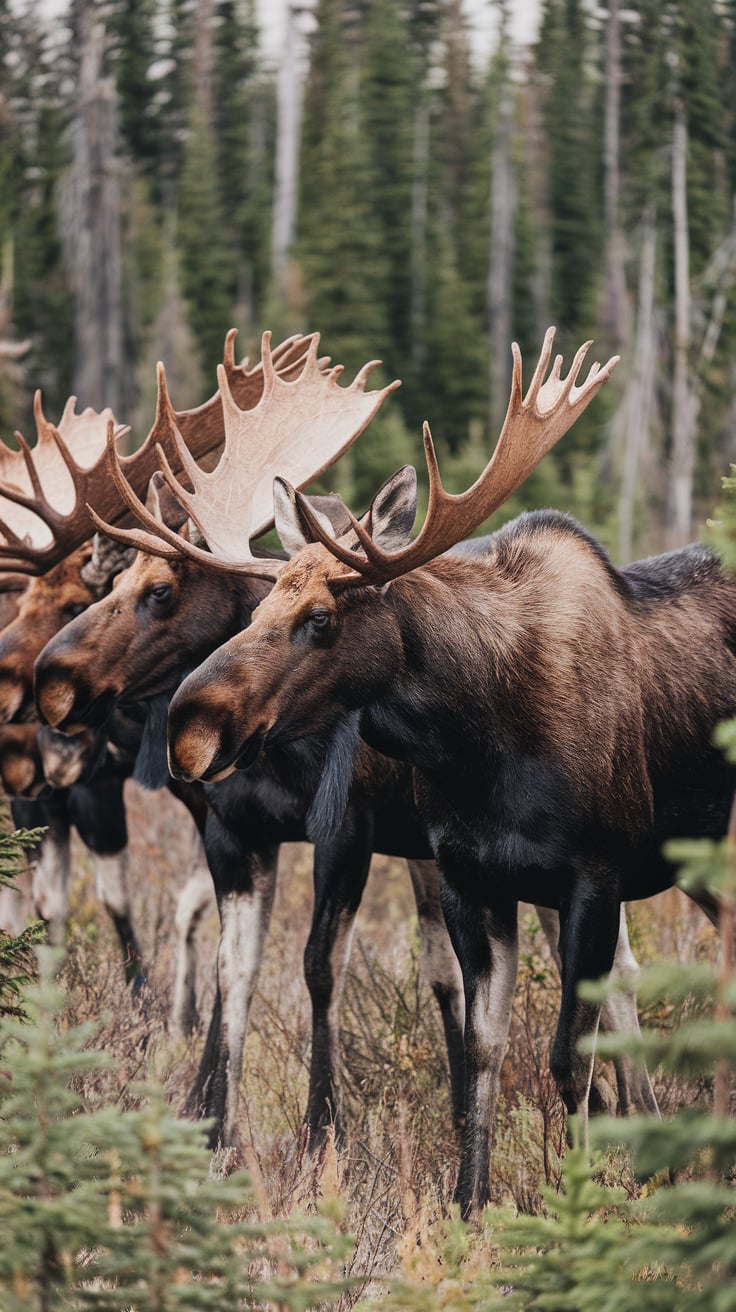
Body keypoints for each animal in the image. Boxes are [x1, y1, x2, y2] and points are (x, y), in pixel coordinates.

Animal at [35, 332, 659, 1155]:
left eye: (160, 590)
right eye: (110, 583)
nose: (50, 678)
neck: (280, 757)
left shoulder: (346, 831)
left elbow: (317, 966)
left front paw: (319, 1129)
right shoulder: (236, 833)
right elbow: (236, 973)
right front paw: (212, 1122)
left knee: (614, 969)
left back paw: (632, 1114)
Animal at [146, 328, 736, 1215]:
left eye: (320, 618)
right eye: (261, 605)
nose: (189, 723)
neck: (479, 738)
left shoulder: (593, 879)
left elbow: (568, 1057)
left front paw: (580, 1195)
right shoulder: (471, 879)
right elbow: (486, 1049)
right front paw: (470, 1204)